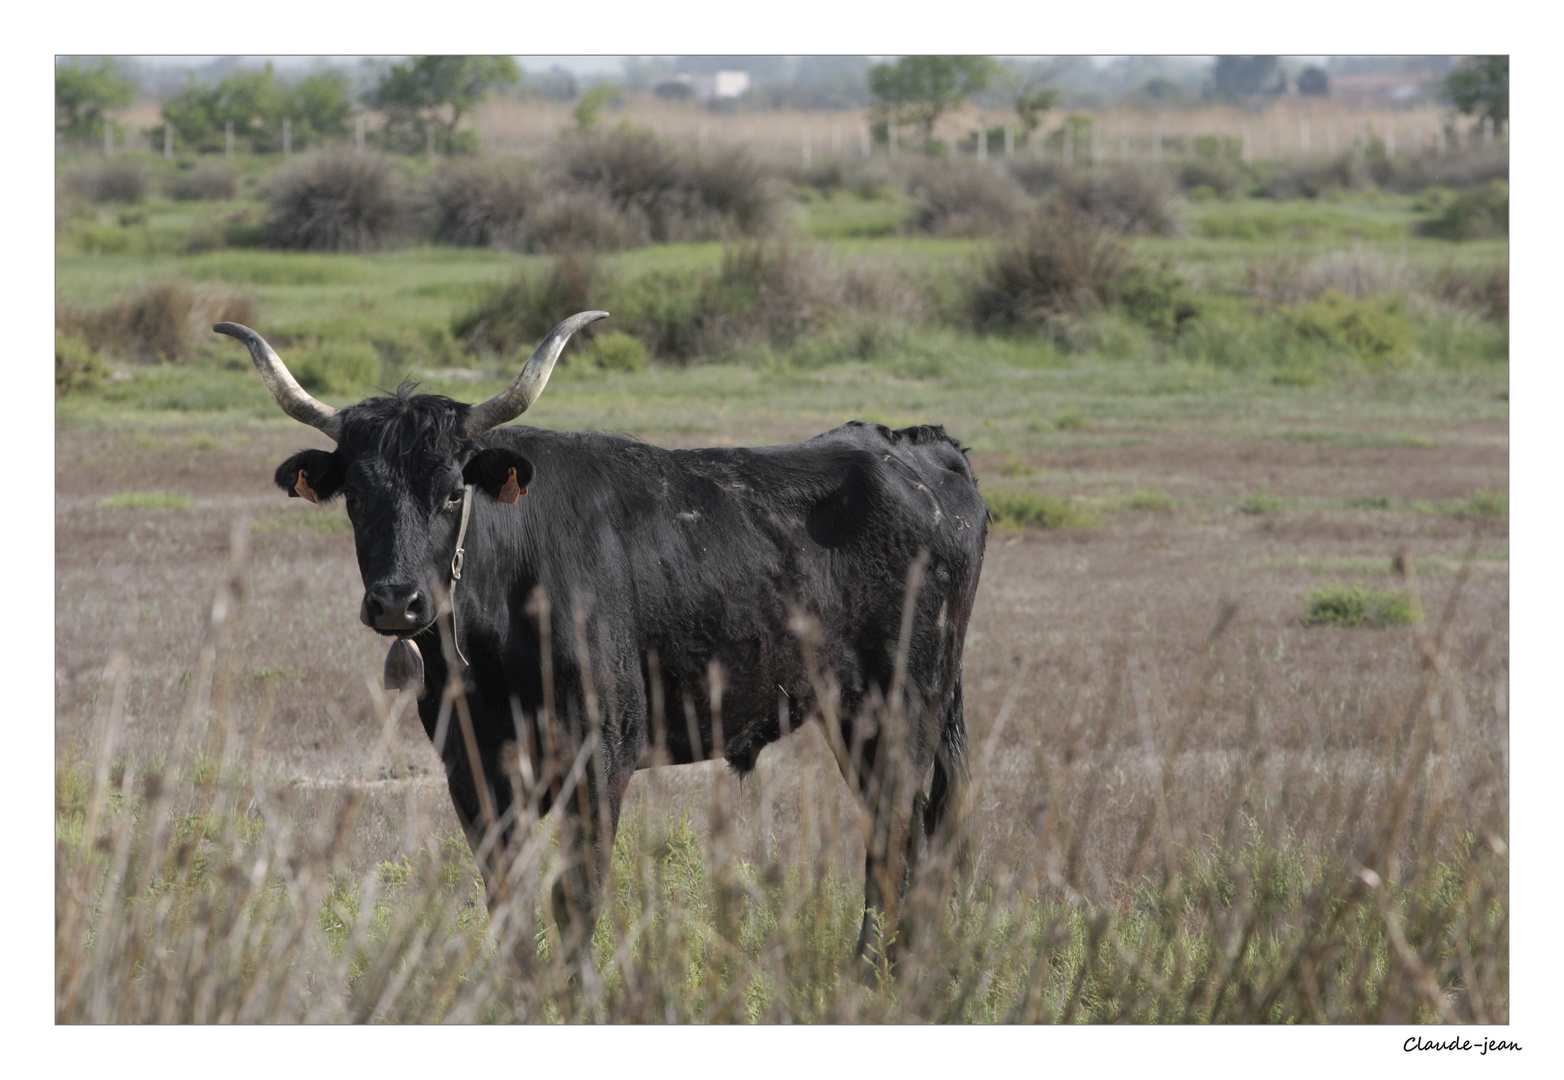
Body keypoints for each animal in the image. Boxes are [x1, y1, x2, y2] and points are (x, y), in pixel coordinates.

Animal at [214, 314, 982, 969]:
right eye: (355, 496)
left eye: (453, 492)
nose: (397, 602)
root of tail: (916, 445)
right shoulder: (473, 764)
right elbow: (506, 891)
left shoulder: (603, 750)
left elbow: (577, 893)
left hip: (903, 707)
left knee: (896, 831)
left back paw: (874, 969)